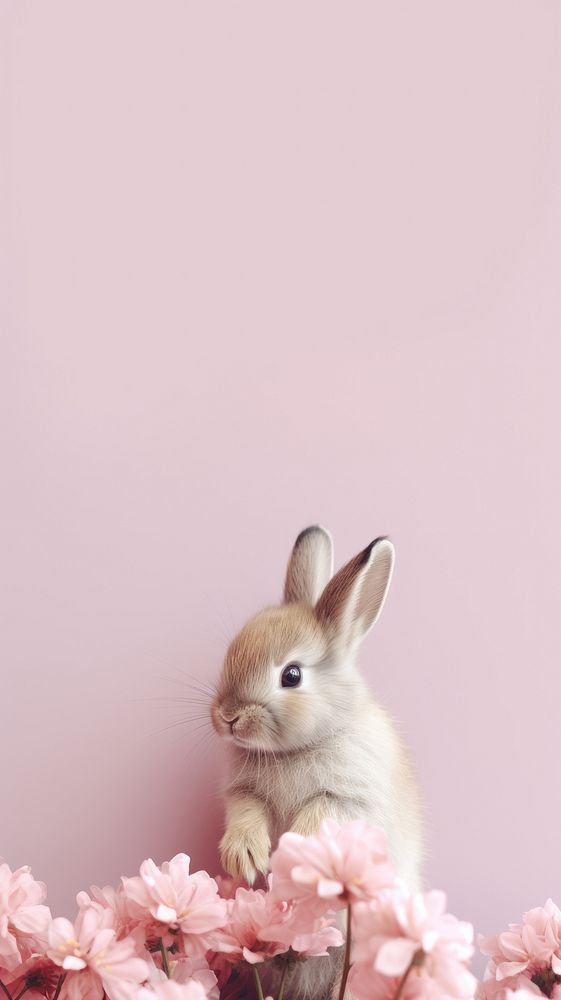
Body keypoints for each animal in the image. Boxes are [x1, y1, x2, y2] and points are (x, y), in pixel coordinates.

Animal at [211, 526, 423, 998]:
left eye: (291, 675)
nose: (227, 717)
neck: (296, 748)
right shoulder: (244, 795)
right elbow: (247, 817)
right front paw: (245, 860)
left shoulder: (346, 798)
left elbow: (317, 821)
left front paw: (294, 861)